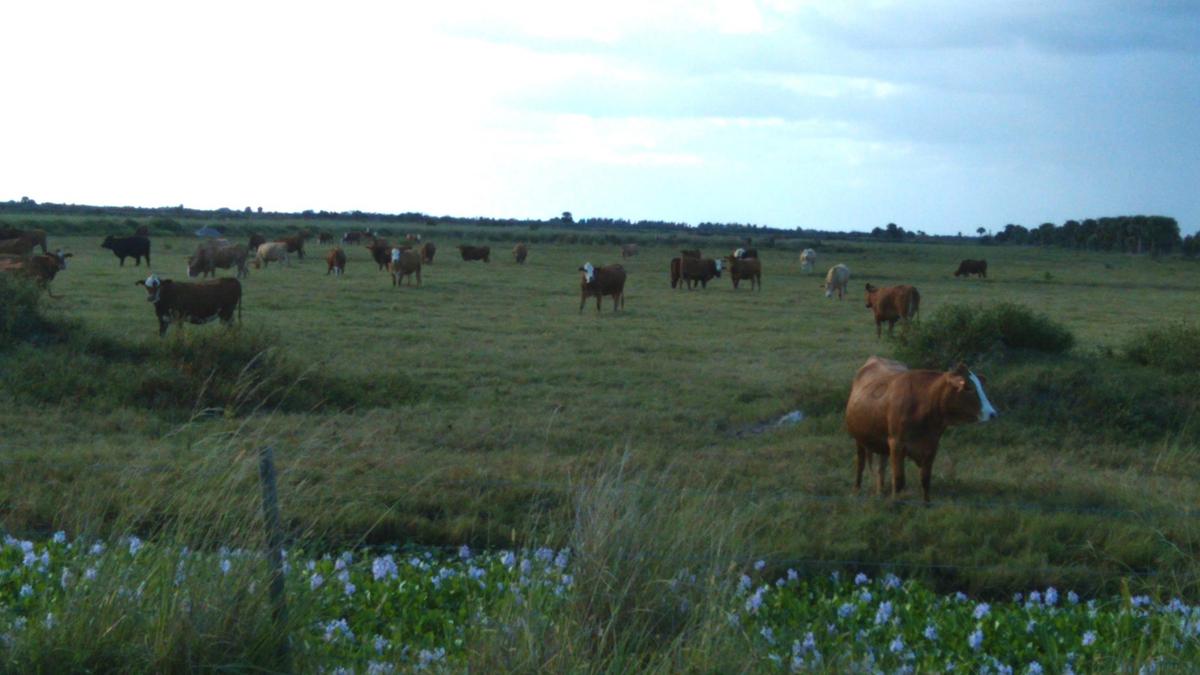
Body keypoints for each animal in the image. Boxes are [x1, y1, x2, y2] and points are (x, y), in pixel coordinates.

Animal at [846, 356, 997, 501]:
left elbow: (925, 480)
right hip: (859, 439)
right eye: (968, 388)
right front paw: (896, 502)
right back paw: (856, 490)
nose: (992, 413)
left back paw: (880, 492)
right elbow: (899, 480)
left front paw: (926, 503)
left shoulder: (931, 446)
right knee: (860, 464)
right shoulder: (896, 444)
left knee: (880, 468)